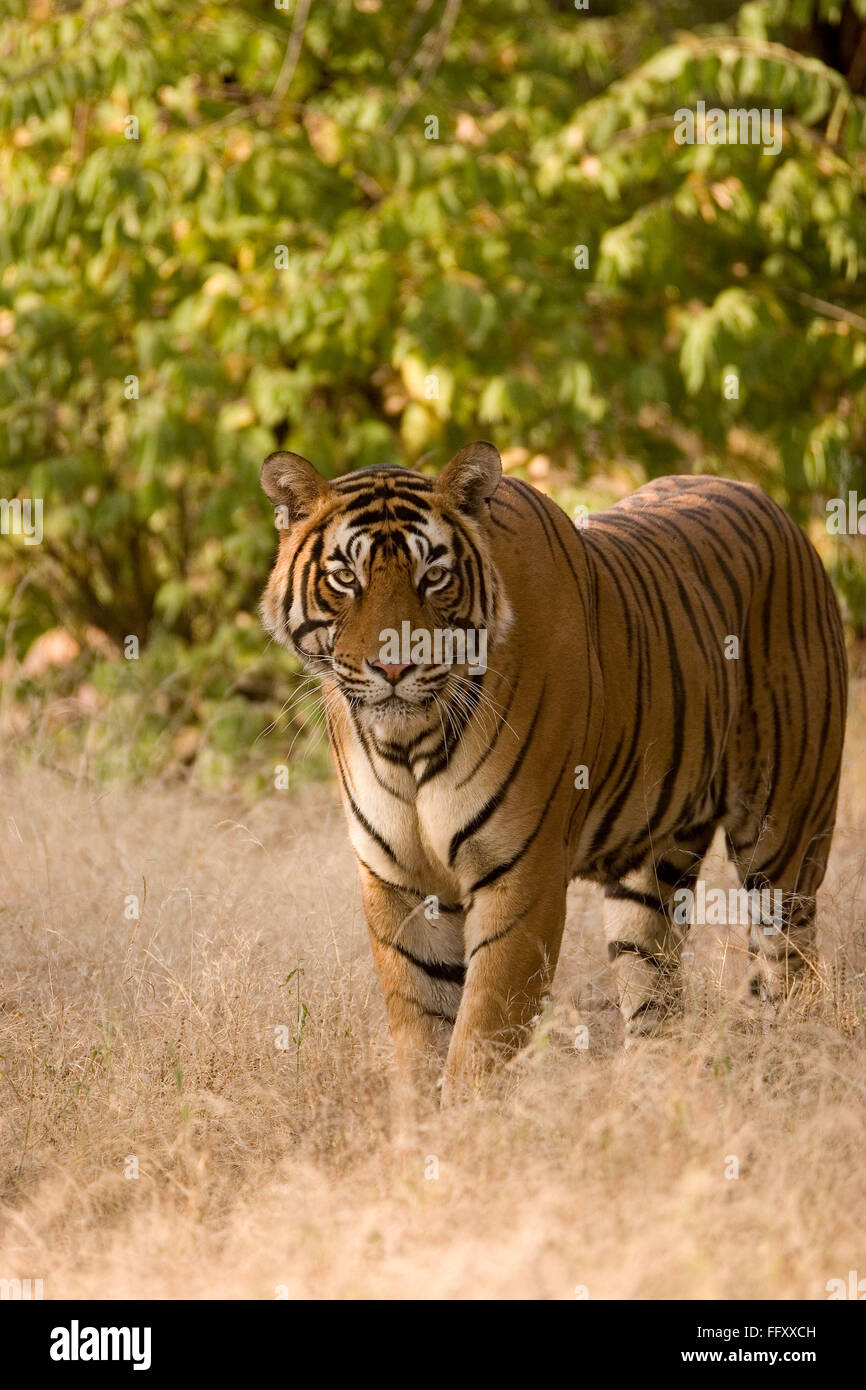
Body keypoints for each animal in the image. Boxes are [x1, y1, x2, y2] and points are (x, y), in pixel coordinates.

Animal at [260, 441, 847, 1104]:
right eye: (345, 578)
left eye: (433, 576)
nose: (393, 666)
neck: (407, 743)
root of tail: (777, 511)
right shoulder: (398, 881)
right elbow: (420, 1032)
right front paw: (415, 1127)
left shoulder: (522, 876)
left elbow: (480, 1039)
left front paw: (462, 1126)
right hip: (653, 868)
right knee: (655, 991)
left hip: (783, 839)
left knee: (792, 969)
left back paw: (789, 1077)